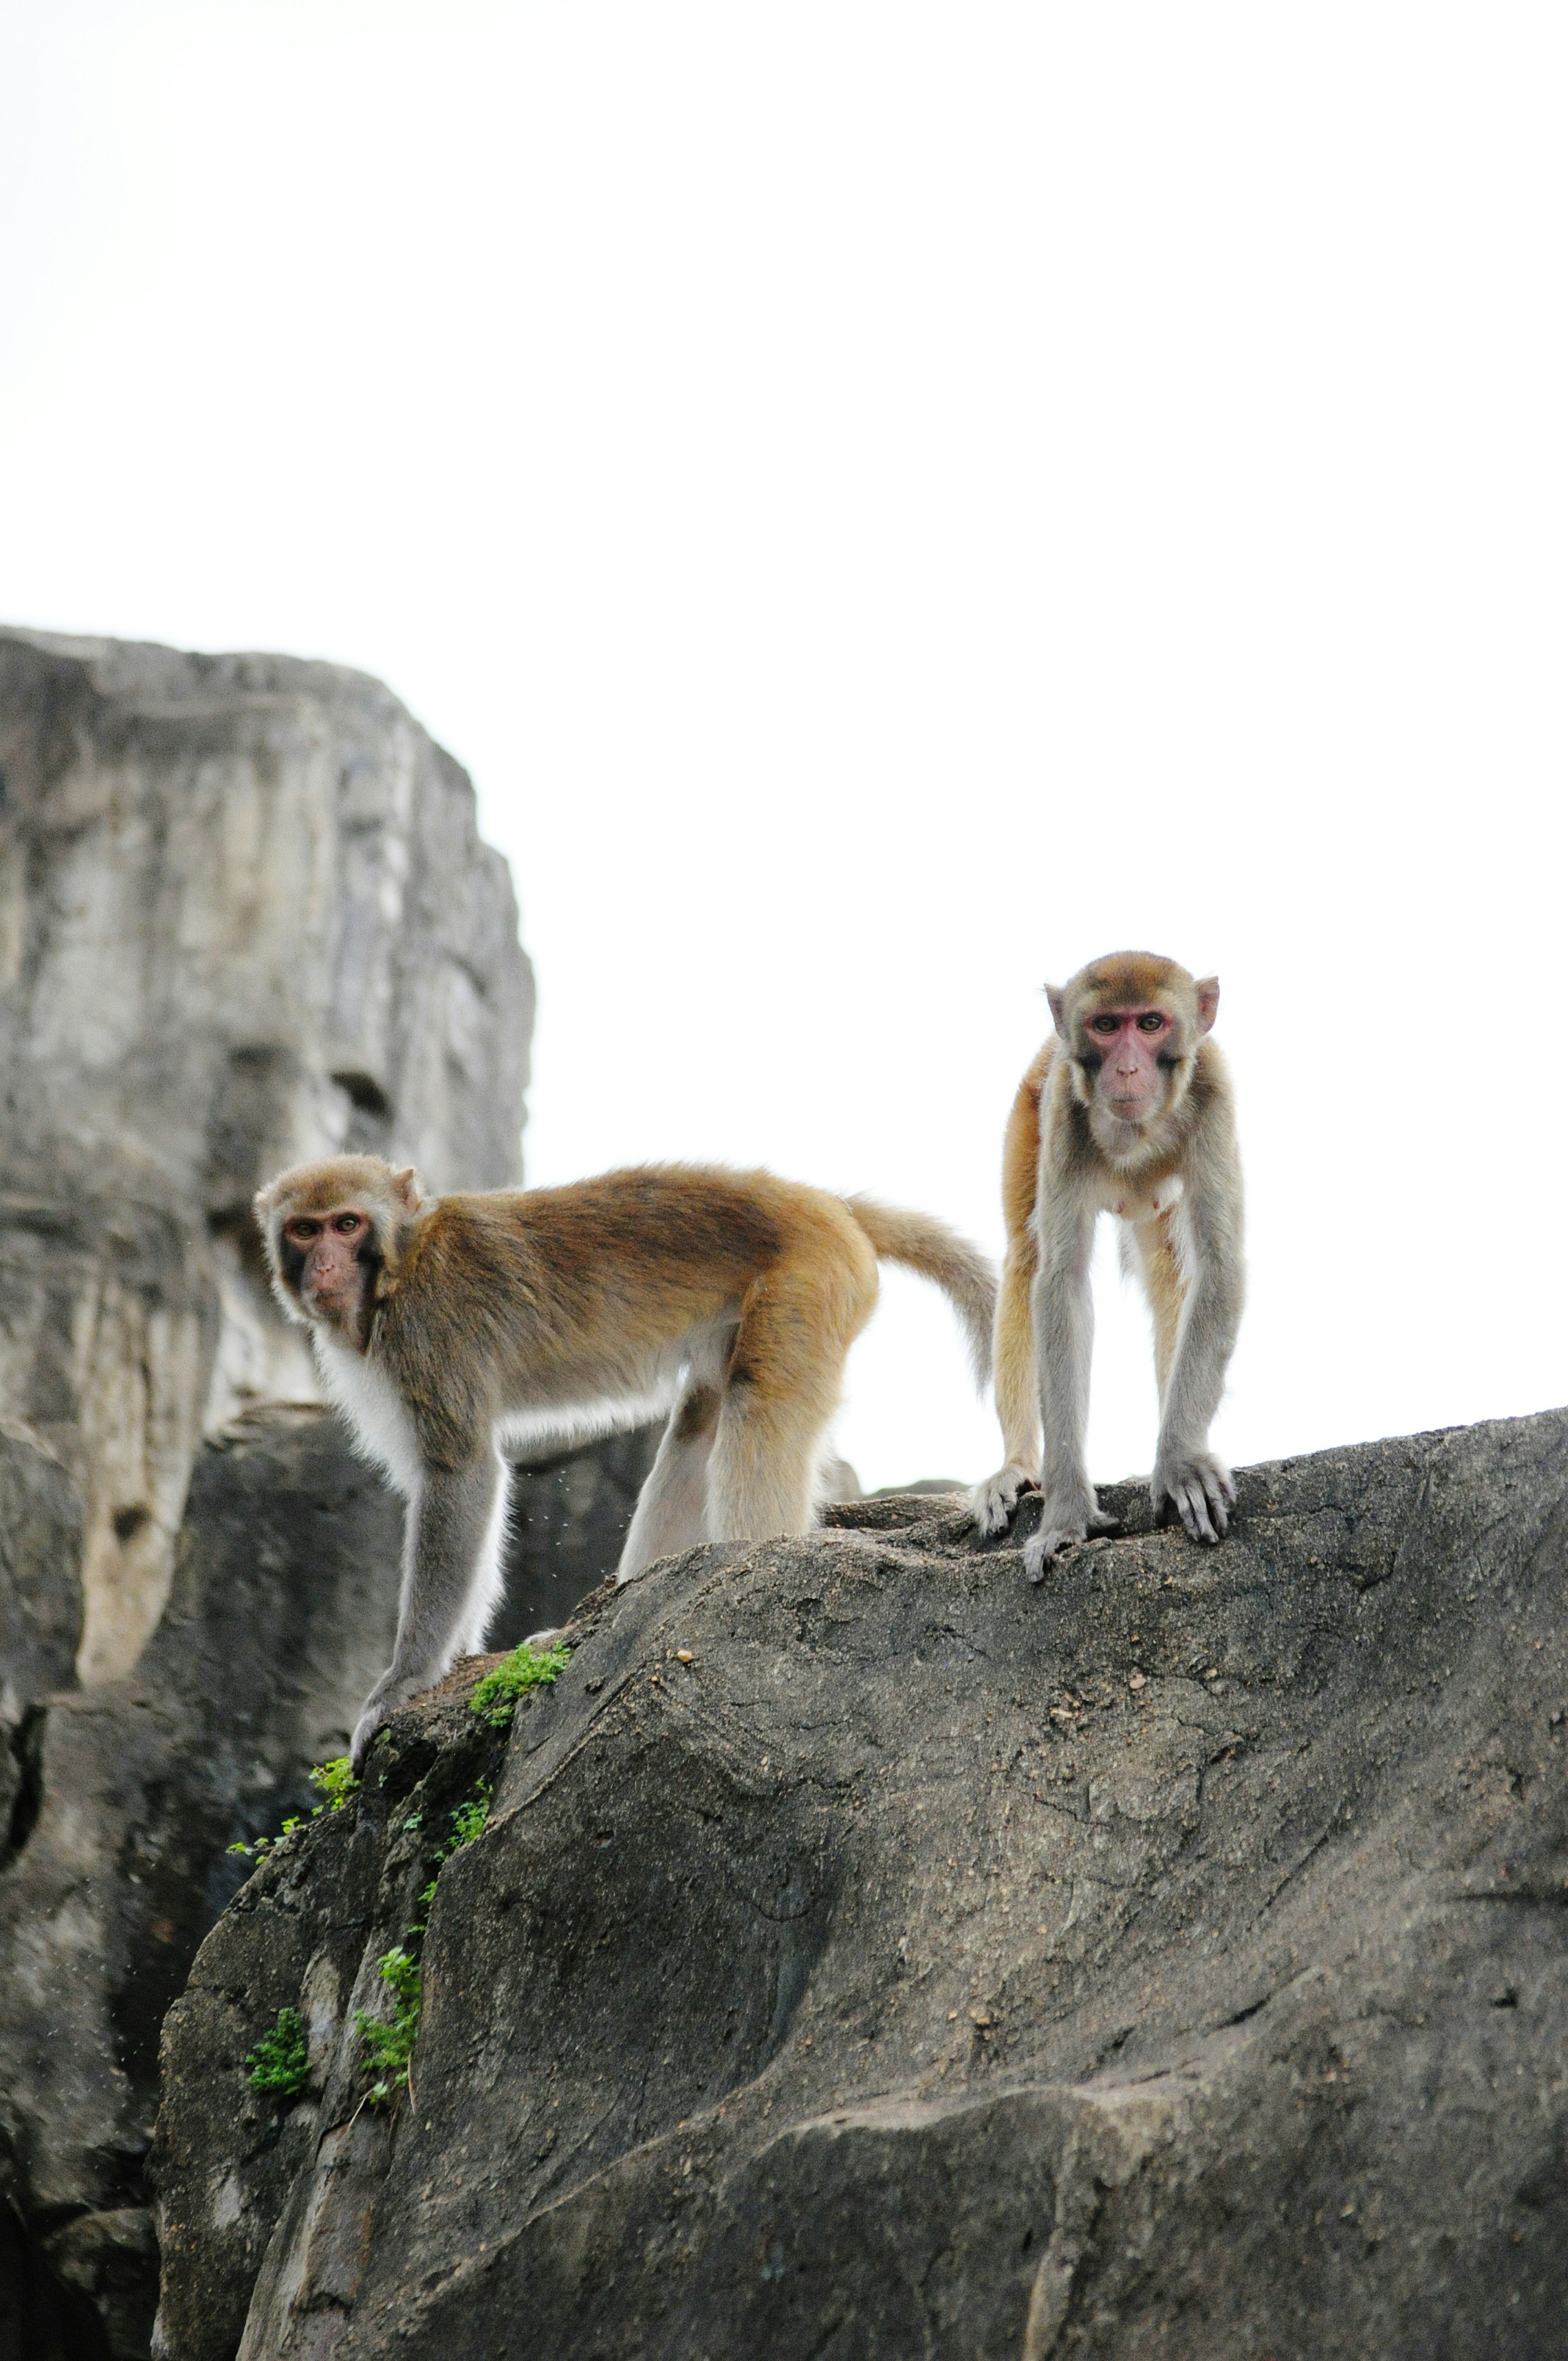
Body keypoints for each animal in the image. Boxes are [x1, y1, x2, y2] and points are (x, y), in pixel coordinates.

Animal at [255, 1155, 996, 1769]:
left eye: (347, 1224)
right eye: (304, 1230)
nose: (324, 1268)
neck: (400, 1266)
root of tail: (826, 1202)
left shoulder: (428, 1335)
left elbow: (460, 1475)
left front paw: (404, 1680)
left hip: (809, 1281)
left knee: (758, 1407)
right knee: (703, 1417)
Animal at [970, 950, 1244, 1583]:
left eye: (1150, 1024)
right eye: (1105, 1026)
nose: (1126, 1069)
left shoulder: (1214, 1093)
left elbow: (1217, 1265)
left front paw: (1179, 1464)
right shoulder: (1062, 1115)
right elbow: (1060, 1284)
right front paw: (1067, 1515)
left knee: (1174, 1275)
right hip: (1033, 1103)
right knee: (1027, 1258)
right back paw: (1018, 1463)